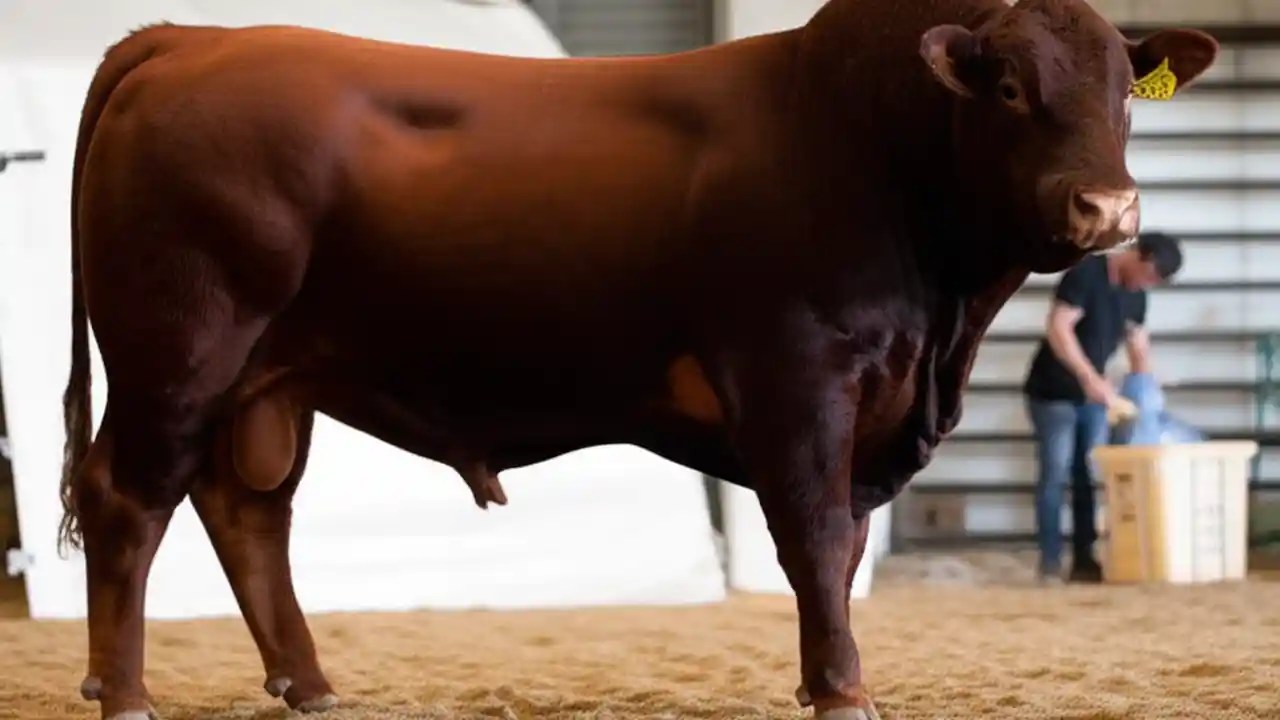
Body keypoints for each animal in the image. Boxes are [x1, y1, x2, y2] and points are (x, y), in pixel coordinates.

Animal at [59, 0, 1217, 718]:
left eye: (1125, 91)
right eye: (1012, 89)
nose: (1105, 208)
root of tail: (189, 39)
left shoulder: (872, 404)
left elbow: (844, 550)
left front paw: (824, 678)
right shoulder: (799, 381)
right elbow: (813, 540)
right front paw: (843, 690)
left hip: (267, 380)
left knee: (248, 513)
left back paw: (307, 684)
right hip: (181, 351)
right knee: (130, 502)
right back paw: (129, 694)